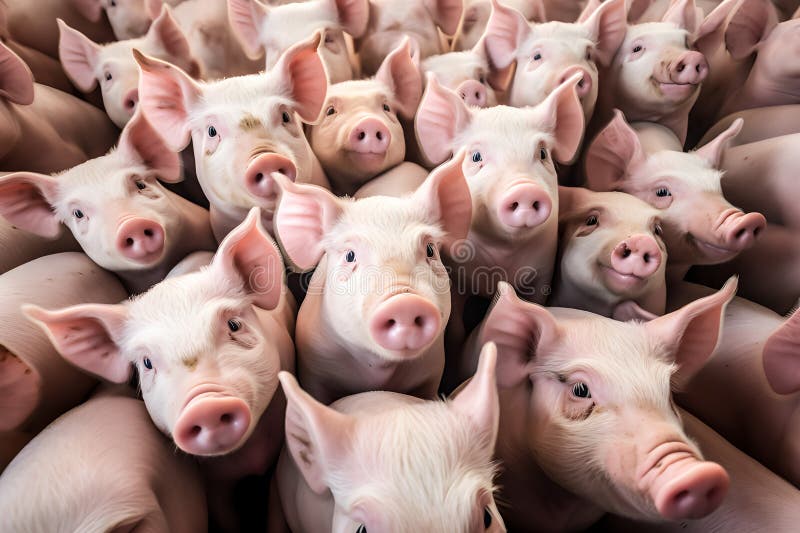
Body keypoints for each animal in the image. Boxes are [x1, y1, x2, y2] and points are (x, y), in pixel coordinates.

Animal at [272, 154, 472, 403]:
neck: (379, 370)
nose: (404, 301)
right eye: (350, 255)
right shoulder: (314, 366)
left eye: (430, 250)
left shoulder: (431, 371)